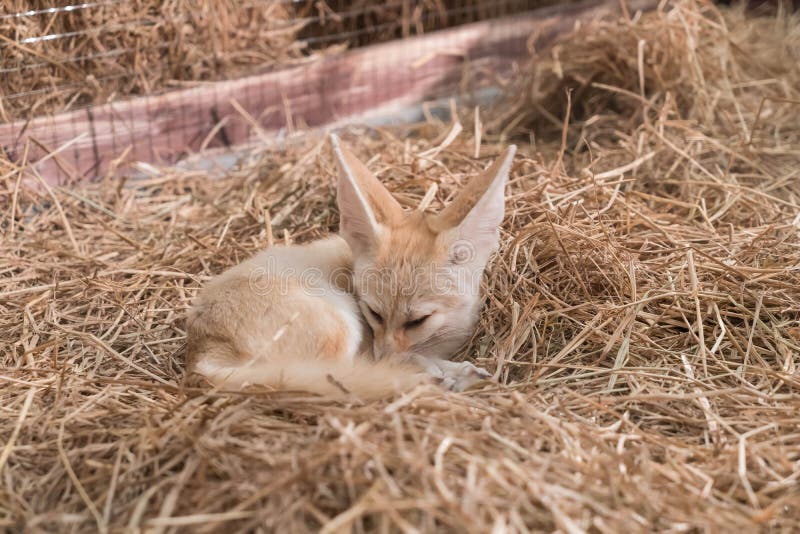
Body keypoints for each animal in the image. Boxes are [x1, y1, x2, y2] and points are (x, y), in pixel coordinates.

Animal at [185, 134, 516, 399]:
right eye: (374, 313)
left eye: (417, 321)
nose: (384, 355)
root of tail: (202, 350)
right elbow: (399, 362)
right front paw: (438, 372)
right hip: (340, 323)